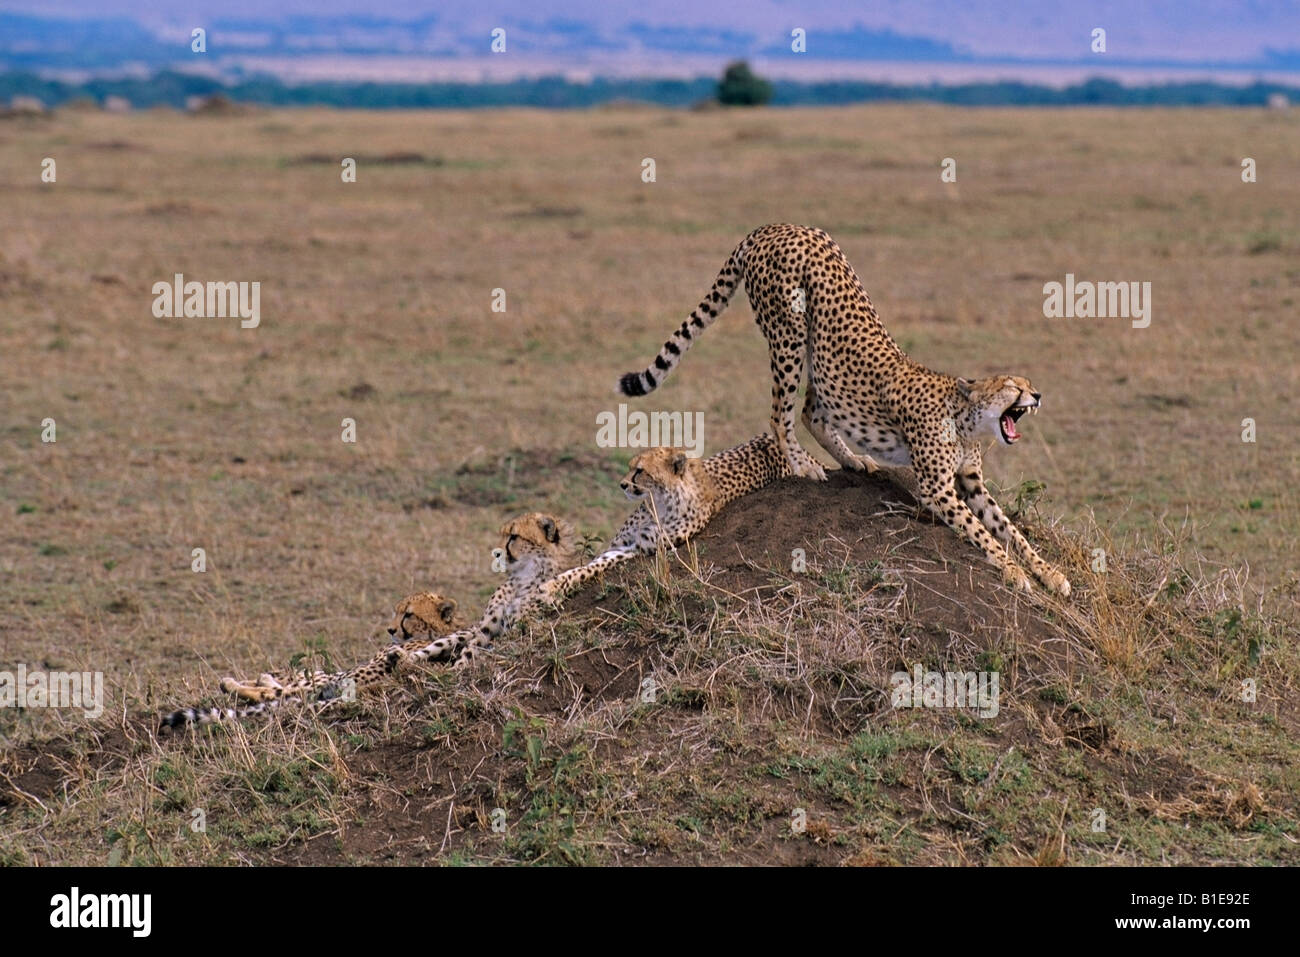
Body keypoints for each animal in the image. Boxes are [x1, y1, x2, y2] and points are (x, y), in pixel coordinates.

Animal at [535, 433, 791, 606]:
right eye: (630, 467)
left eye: (639, 471)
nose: (622, 485)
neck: (660, 503)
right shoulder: (620, 544)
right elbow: (587, 566)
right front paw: (552, 585)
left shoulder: (639, 548)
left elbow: (597, 566)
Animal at [616, 223, 1070, 596]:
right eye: (1013, 386)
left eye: (1027, 384)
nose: (1038, 395)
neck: (967, 421)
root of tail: (776, 226)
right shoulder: (937, 488)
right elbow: (984, 534)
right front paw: (1014, 572)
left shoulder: (971, 482)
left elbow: (1011, 530)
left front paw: (1049, 573)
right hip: (789, 332)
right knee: (781, 414)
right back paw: (803, 465)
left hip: (818, 349)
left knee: (811, 410)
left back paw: (853, 459)